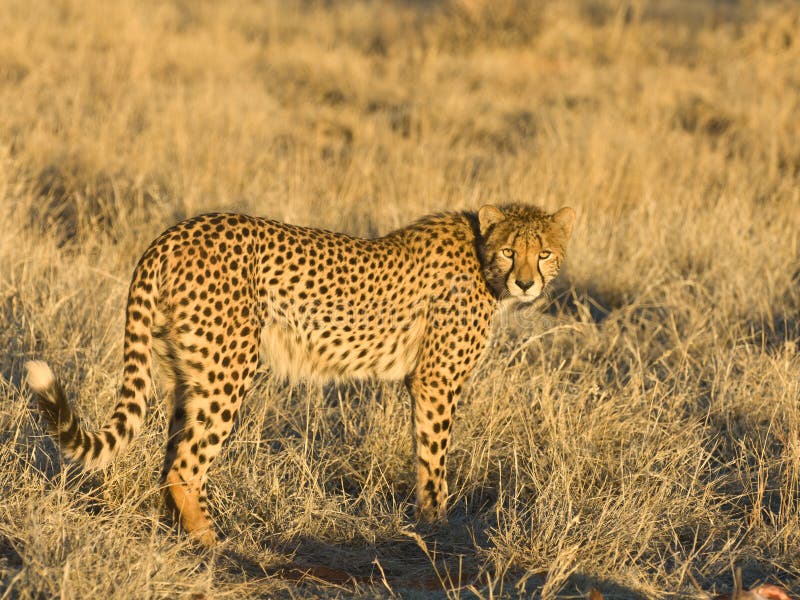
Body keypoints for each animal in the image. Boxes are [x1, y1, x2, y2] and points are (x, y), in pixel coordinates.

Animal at [26, 203, 575, 546]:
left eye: (544, 252)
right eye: (510, 251)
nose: (527, 283)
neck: (482, 258)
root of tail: (175, 232)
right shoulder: (436, 380)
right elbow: (434, 459)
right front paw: (437, 526)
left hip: (185, 372)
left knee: (170, 460)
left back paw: (182, 530)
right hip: (229, 369)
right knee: (185, 465)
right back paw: (212, 541)